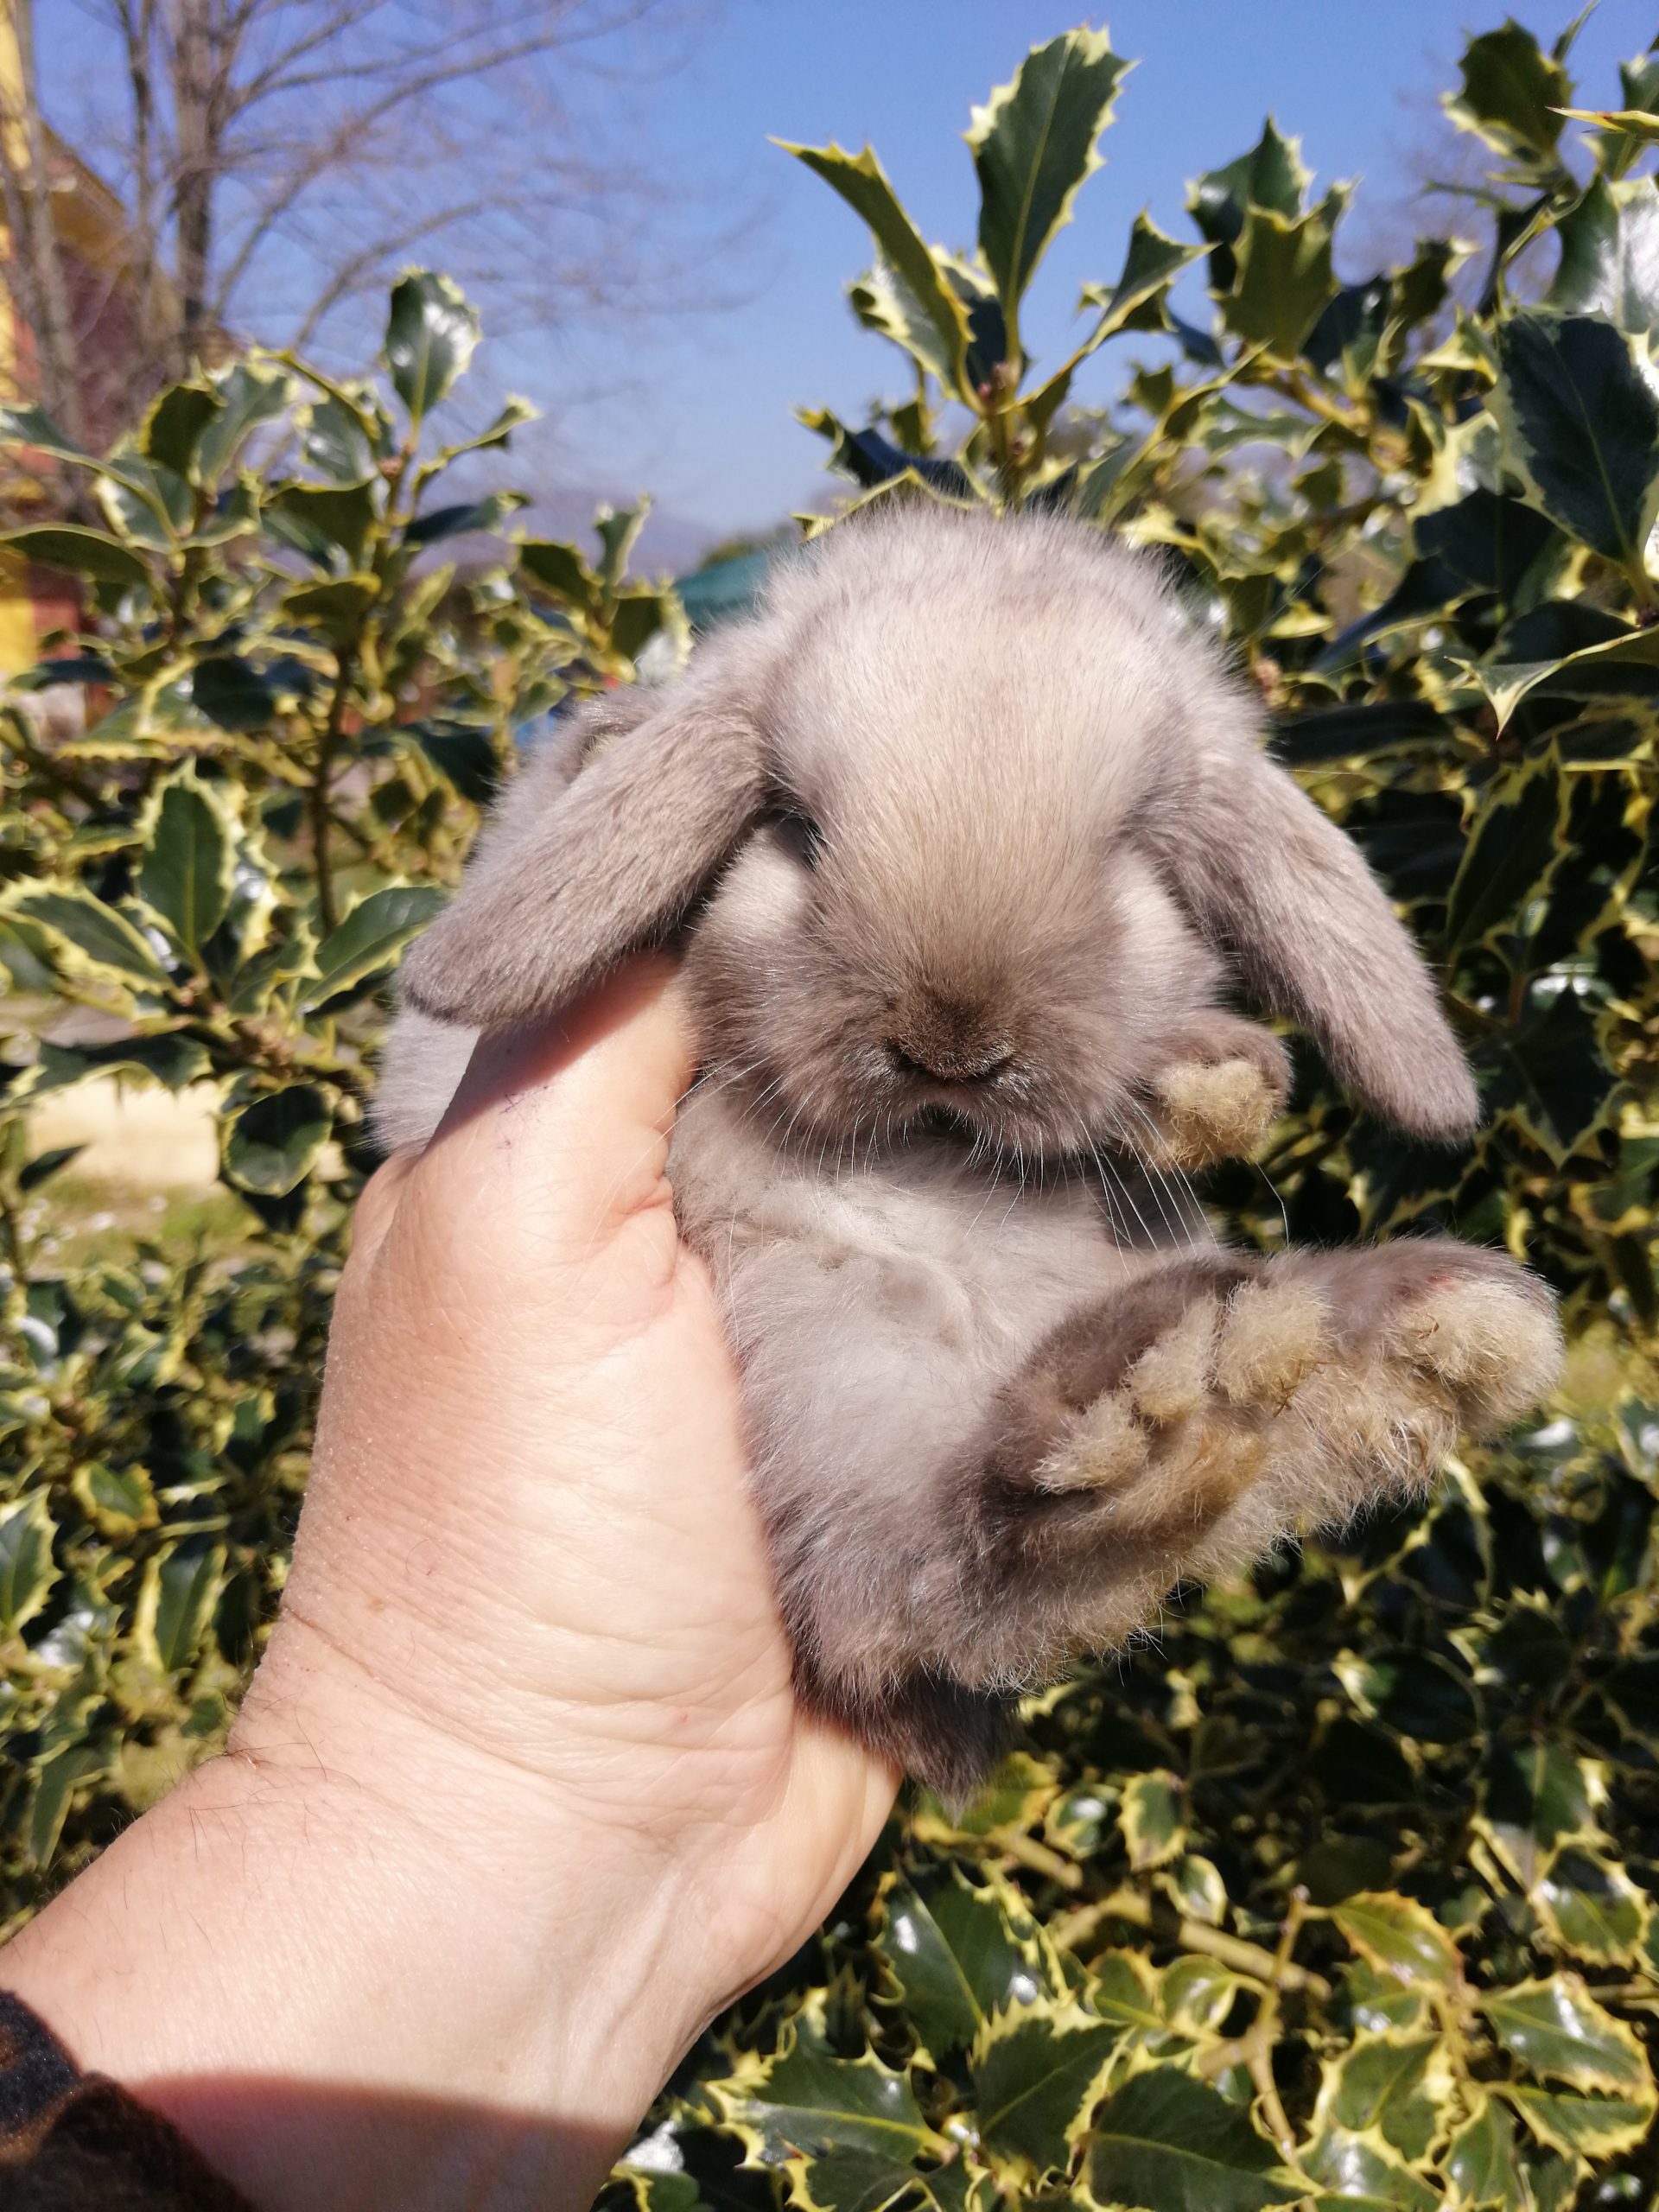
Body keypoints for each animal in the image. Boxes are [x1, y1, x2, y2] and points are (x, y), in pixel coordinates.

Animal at [378, 504, 1562, 1798]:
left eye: (1132, 852)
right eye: (797, 832)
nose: (950, 1044)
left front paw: (1214, 1080)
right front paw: (603, 741)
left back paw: (1386, 1341)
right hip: (833, 1365)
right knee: (929, 1584)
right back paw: (1159, 1407)